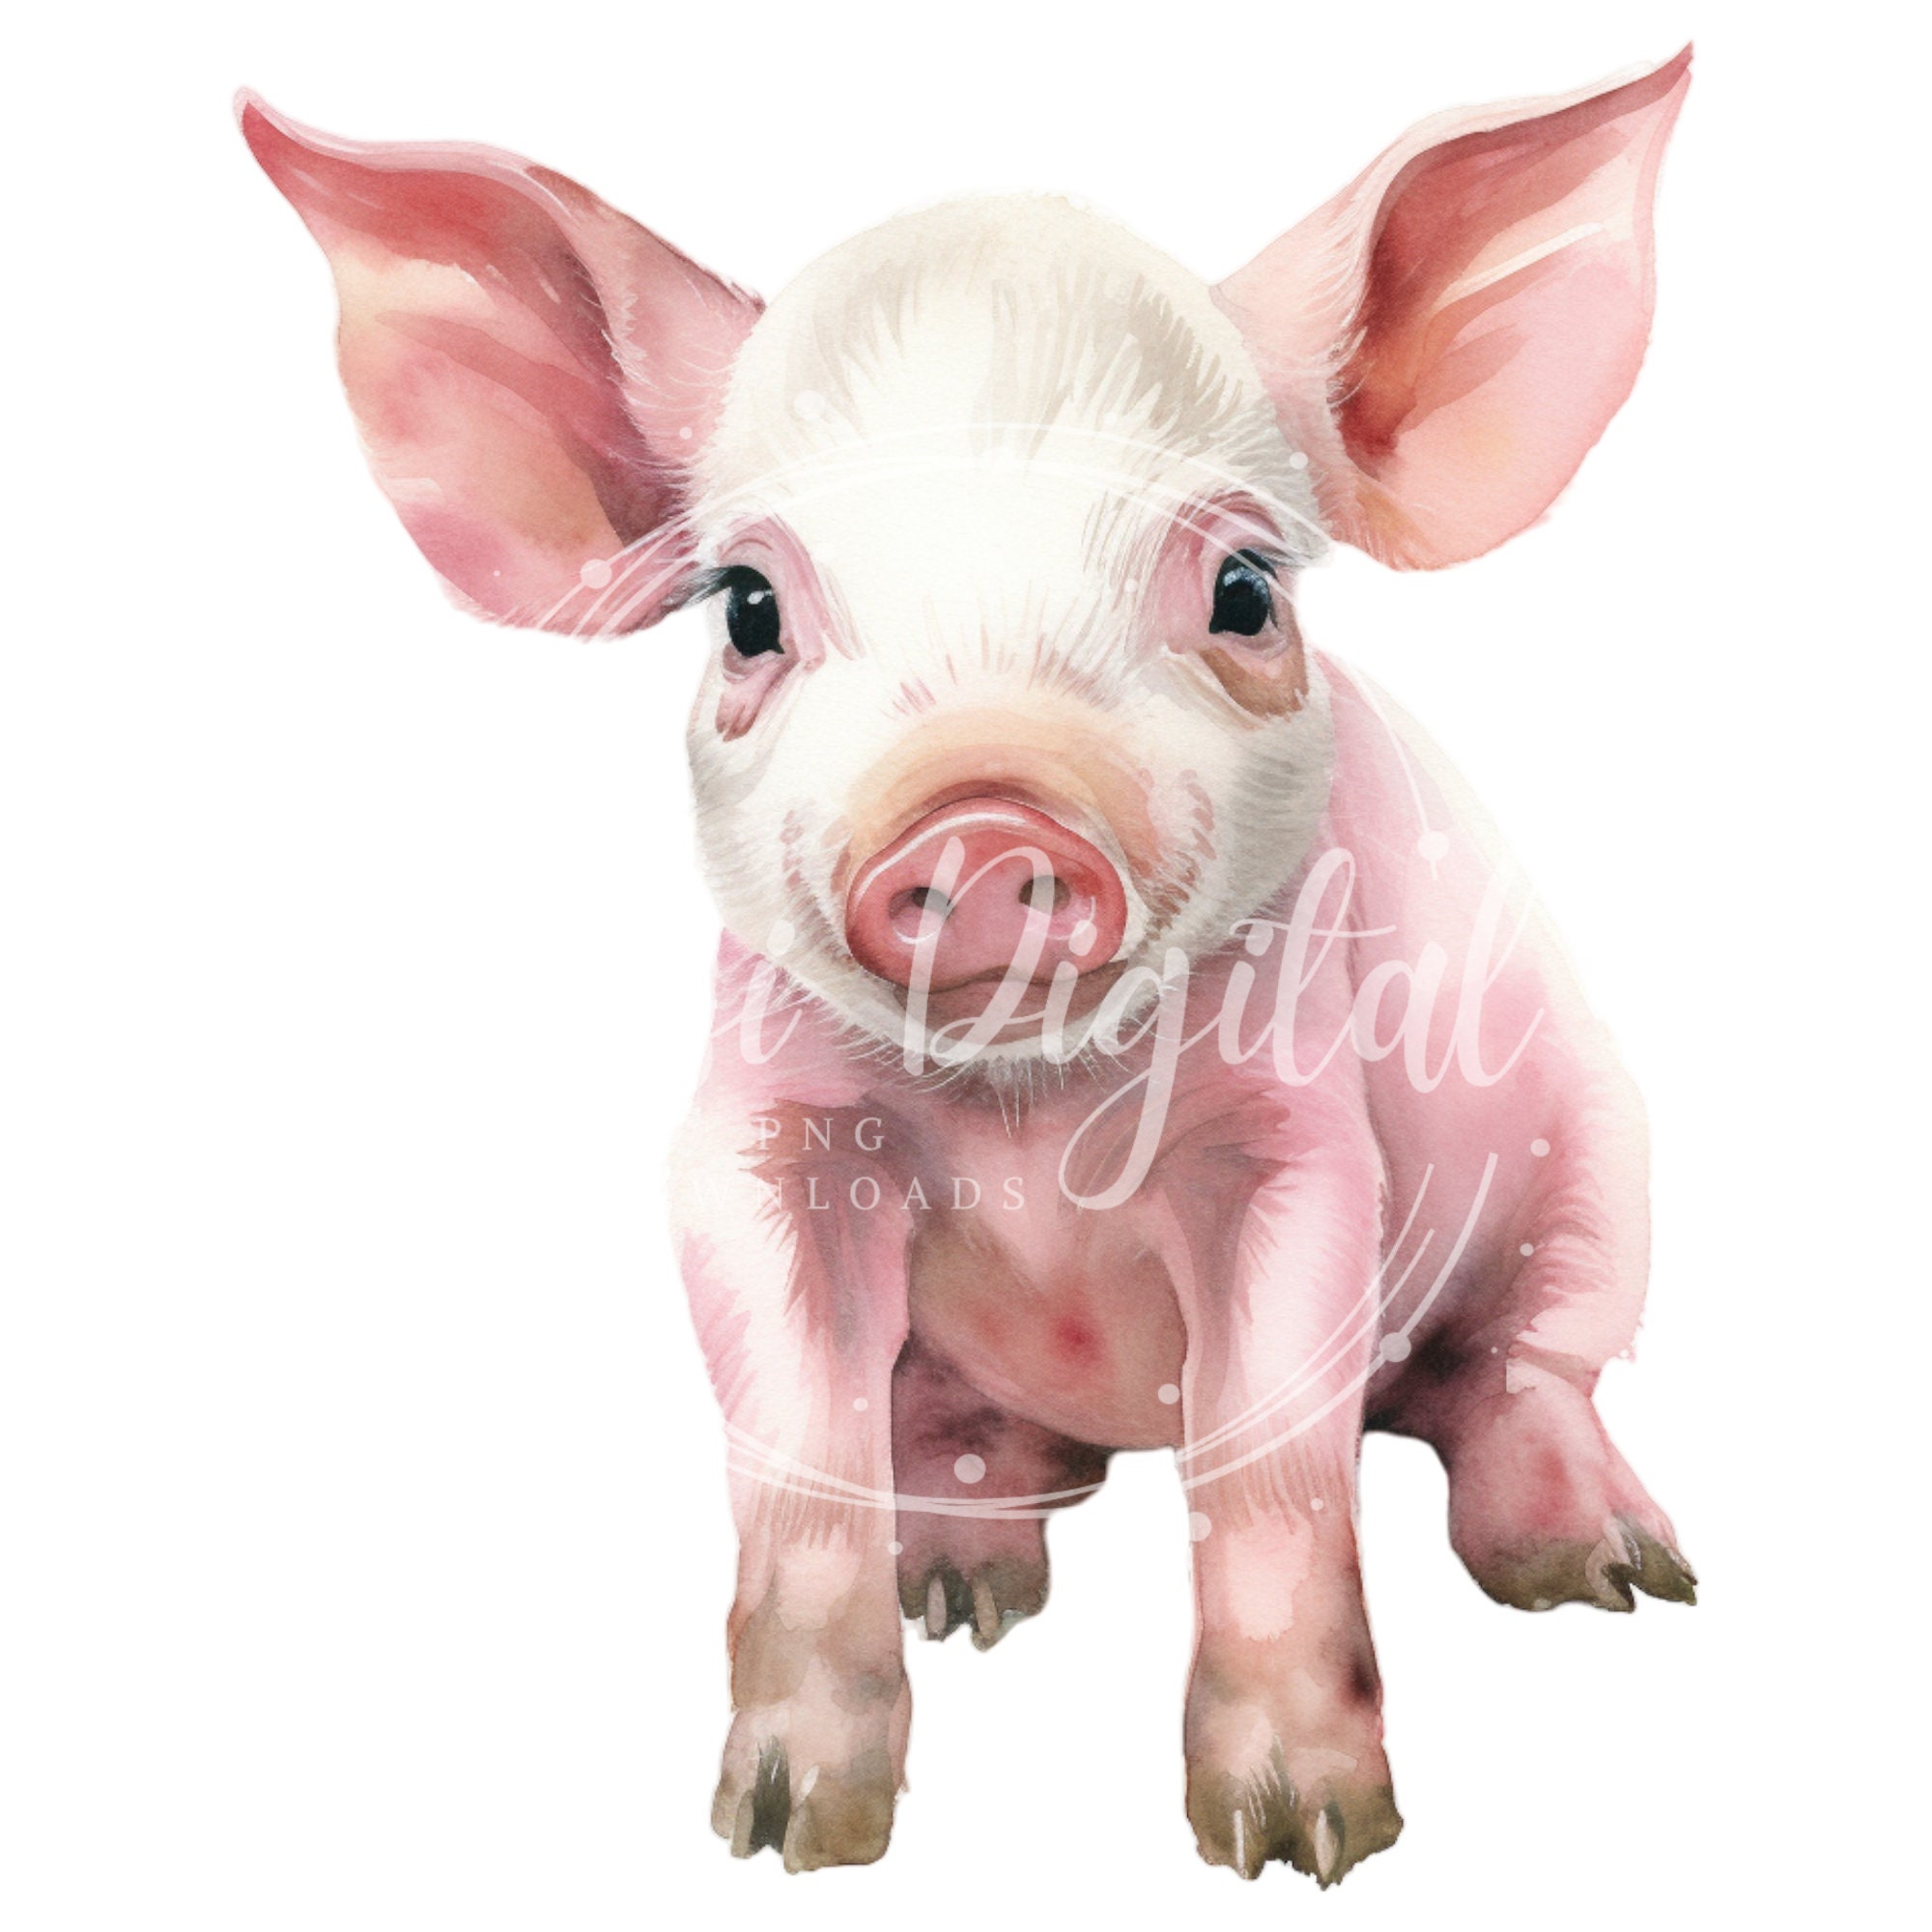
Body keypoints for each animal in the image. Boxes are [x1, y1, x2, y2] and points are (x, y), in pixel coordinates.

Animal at [241, 44, 1695, 1885]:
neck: (1029, 1123)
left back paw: (1611, 1577)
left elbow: (1271, 1469)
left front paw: (1302, 1847)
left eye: (1244, 587)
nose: (988, 819)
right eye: (745, 607)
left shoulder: (1304, 1146)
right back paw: (964, 1578)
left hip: (1602, 1165)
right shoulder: (752, 1145)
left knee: (1520, 1370)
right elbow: (798, 1468)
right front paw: (785, 1839)